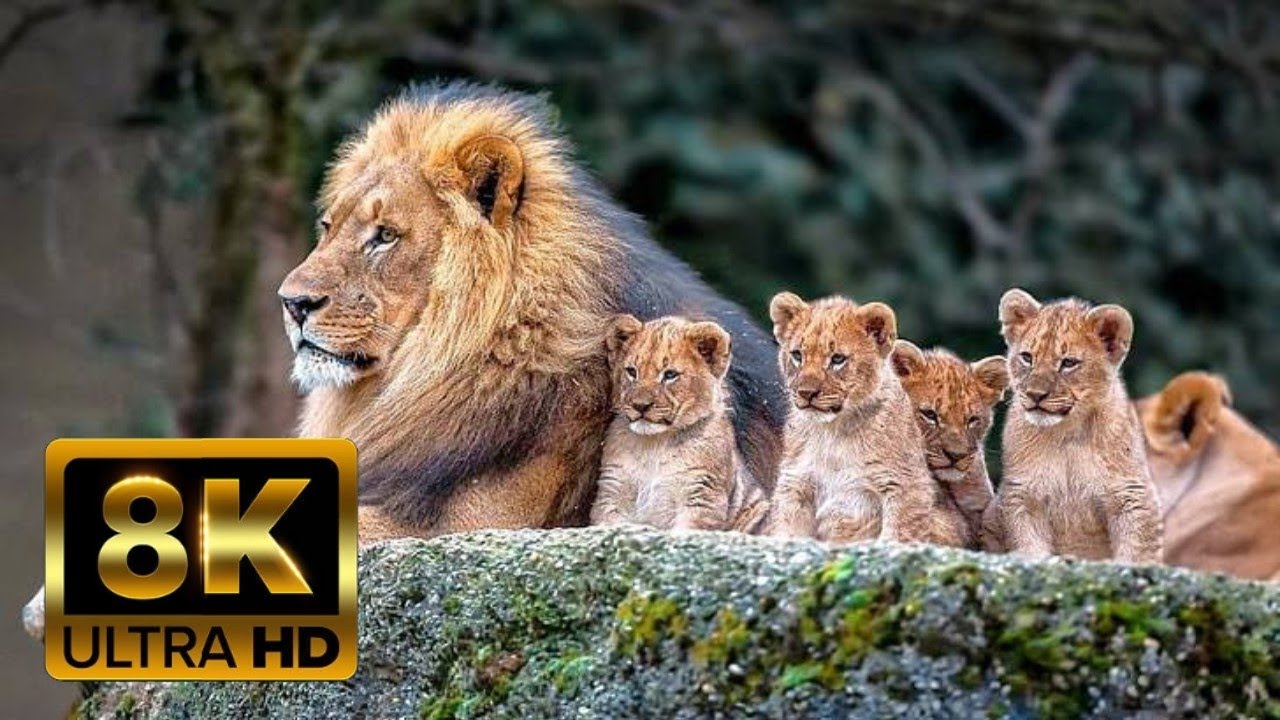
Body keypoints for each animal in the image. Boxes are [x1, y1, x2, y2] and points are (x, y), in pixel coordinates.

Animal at [591, 315, 769, 532]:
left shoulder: (701, 497)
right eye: (632, 372)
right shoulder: (612, 493)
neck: (654, 444)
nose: (640, 406)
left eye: (670, 375)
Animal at [766, 293, 935, 544]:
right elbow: (786, 531)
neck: (833, 433)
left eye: (837, 359)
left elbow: (898, 534)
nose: (806, 393)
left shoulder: (906, 486)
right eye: (797, 355)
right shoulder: (795, 485)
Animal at [986, 289, 1162, 563]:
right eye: (1027, 358)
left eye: (1068, 363)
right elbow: (1030, 545)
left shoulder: (1131, 494)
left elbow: (1136, 550)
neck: (1065, 434)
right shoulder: (1023, 494)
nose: (1035, 395)